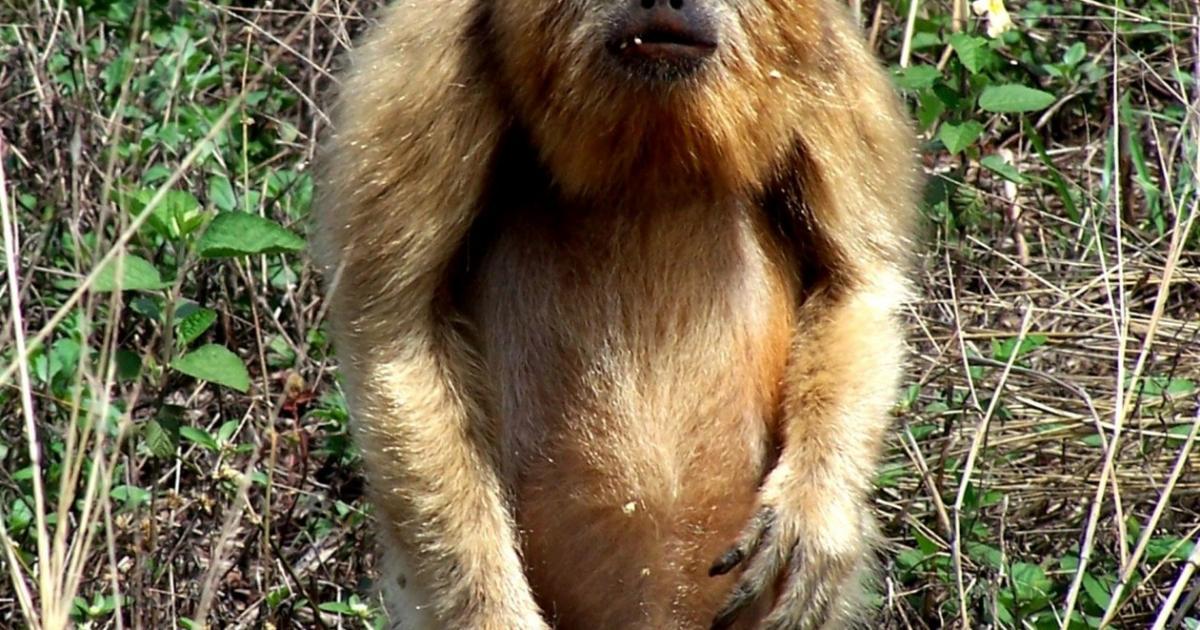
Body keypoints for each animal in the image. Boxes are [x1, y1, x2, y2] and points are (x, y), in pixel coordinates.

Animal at [312, 0, 919, 627]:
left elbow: (857, 282)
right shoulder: (428, 51)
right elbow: (394, 326)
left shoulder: (831, 60)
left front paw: (813, 518)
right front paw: (492, 610)